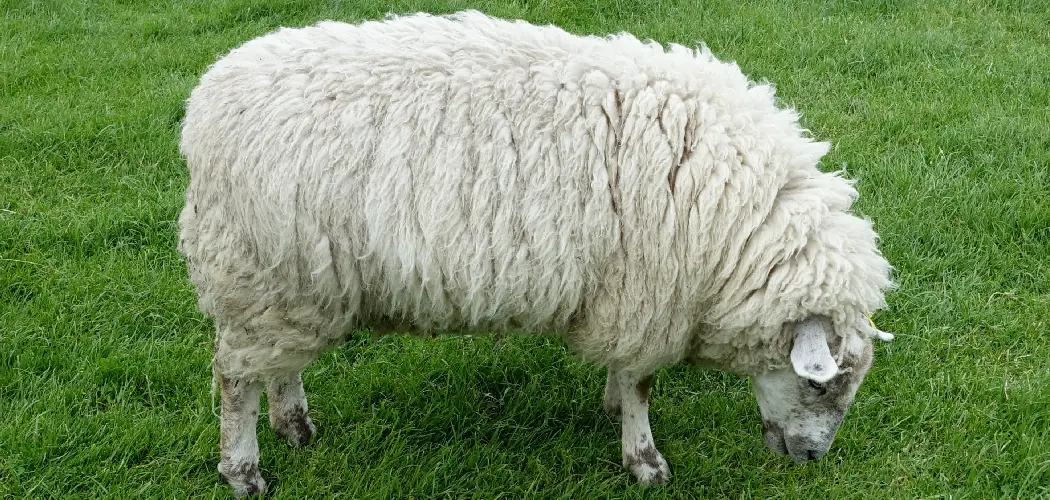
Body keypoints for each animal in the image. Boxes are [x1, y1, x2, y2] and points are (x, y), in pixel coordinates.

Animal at [177, 10, 895, 496]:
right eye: (820, 384)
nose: (810, 460)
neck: (740, 215)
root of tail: (205, 103)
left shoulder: (626, 295)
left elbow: (625, 374)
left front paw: (612, 407)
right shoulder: (646, 291)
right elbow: (642, 383)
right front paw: (644, 460)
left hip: (293, 280)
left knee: (277, 365)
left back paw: (294, 425)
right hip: (260, 274)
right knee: (235, 379)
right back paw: (243, 470)